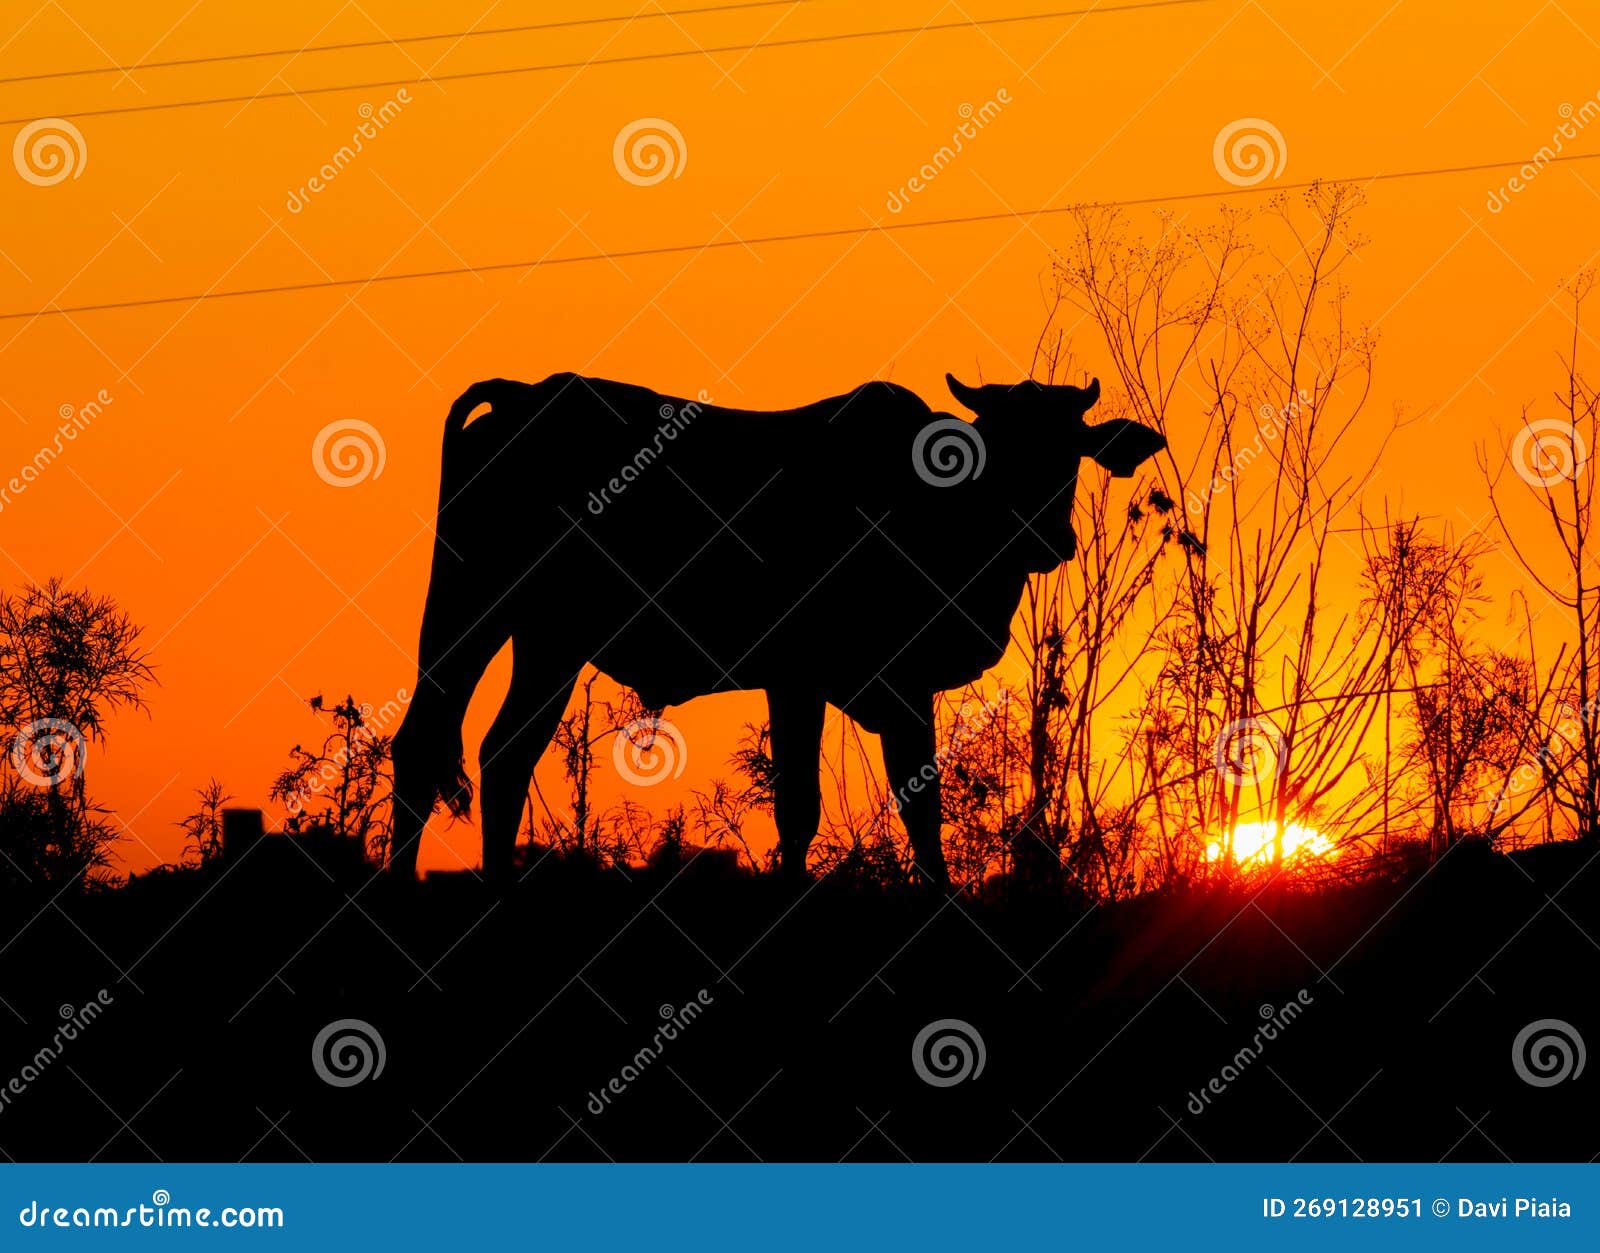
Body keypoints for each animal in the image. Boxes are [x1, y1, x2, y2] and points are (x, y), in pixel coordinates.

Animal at [388, 371, 1165, 888]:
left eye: (1073, 451)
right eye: (998, 449)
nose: (1048, 538)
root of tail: (528, 391)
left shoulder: (886, 688)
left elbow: (902, 804)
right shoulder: (810, 678)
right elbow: (811, 805)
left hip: (524, 632)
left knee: (484, 751)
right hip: (498, 621)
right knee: (447, 748)